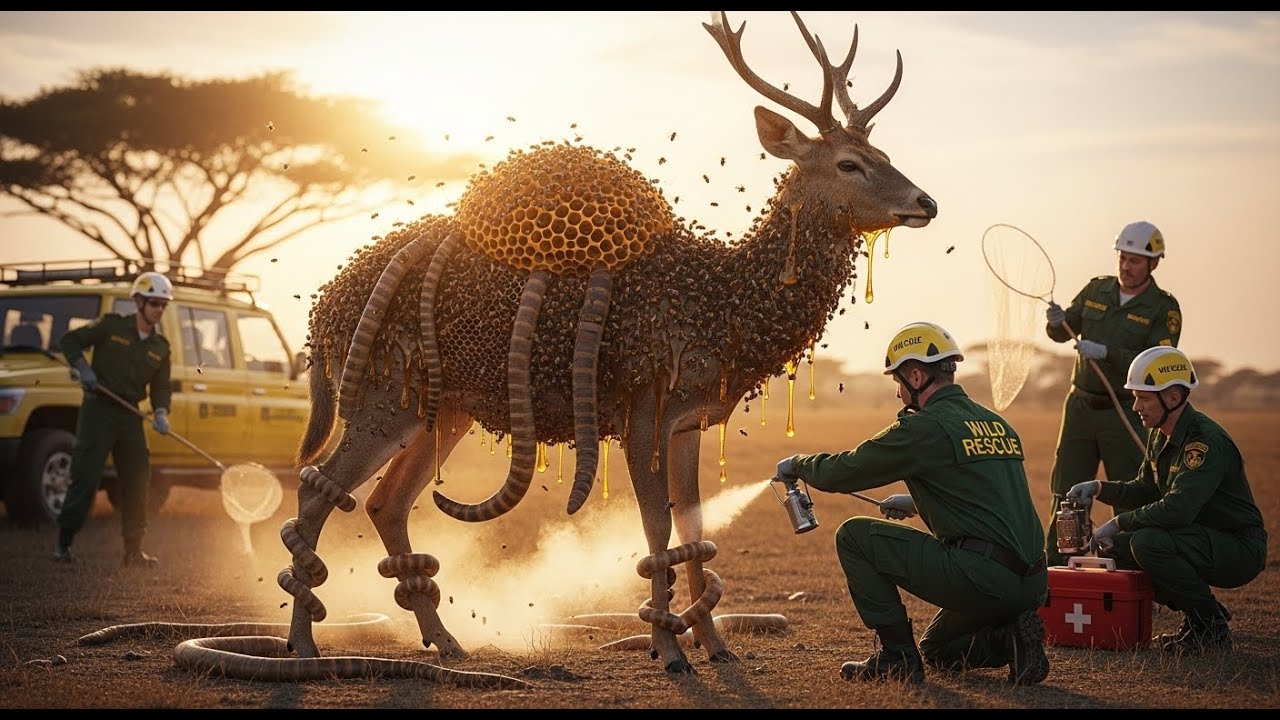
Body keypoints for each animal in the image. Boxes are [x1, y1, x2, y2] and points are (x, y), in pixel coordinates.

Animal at [276, 10, 937, 678]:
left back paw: (447, 642)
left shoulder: (689, 420)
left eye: (883, 152)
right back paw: (303, 645)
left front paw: (717, 646)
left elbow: (694, 524)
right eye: (849, 163)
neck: (722, 307)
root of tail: (321, 318)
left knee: (386, 502)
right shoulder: (641, 407)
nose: (926, 201)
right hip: (382, 396)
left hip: (442, 410)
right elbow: (655, 526)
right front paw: (670, 651)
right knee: (315, 489)